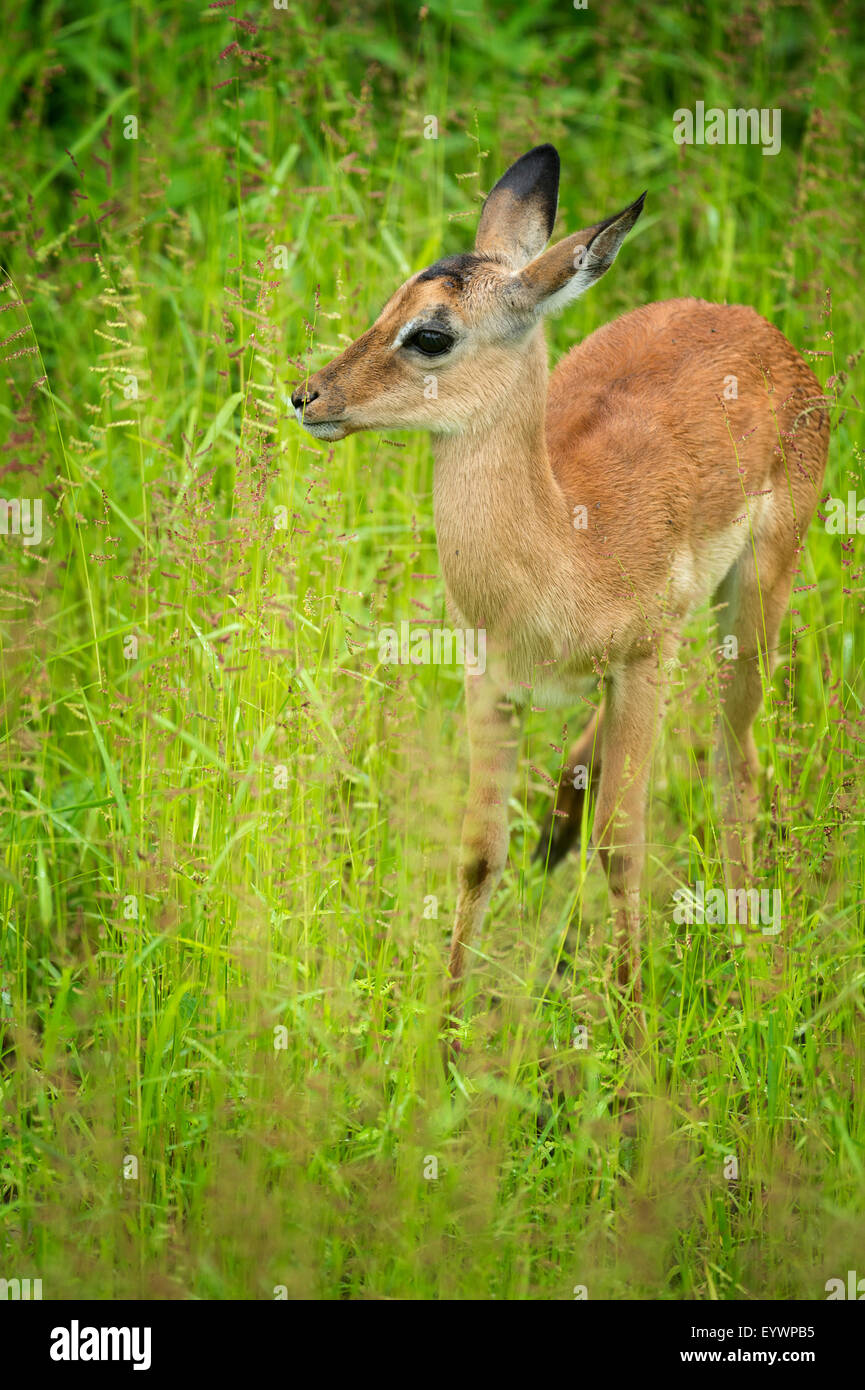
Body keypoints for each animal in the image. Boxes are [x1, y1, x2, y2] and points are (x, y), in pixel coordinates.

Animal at [291, 144, 829, 1014]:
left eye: (430, 333)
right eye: (389, 302)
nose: (307, 395)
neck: (564, 551)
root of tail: (761, 330)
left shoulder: (642, 662)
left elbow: (622, 845)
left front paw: (634, 1028)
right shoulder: (490, 683)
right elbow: (479, 851)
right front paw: (443, 1030)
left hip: (753, 599)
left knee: (735, 762)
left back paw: (755, 962)